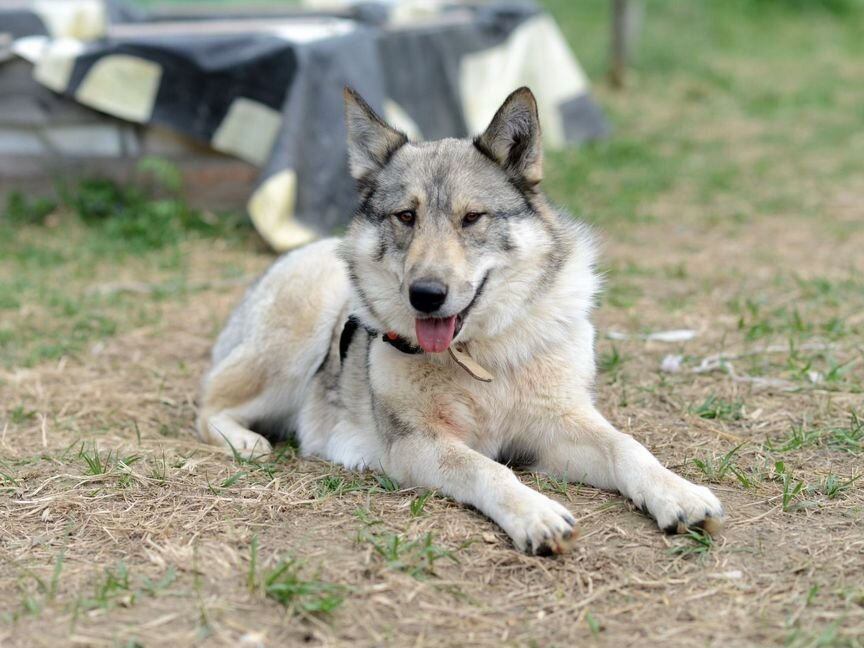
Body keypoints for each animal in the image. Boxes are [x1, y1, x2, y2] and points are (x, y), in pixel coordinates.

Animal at [196, 87, 724, 556]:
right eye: (405, 216)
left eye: (472, 218)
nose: (425, 296)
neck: (481, 357)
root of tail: (297, 253)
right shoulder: (418, 446)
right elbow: (489, 470)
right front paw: (536, 515)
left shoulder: (556, 429)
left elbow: (627, 447)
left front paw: (677, 492)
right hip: (292, 353)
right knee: (207, 406)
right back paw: (245, 443)